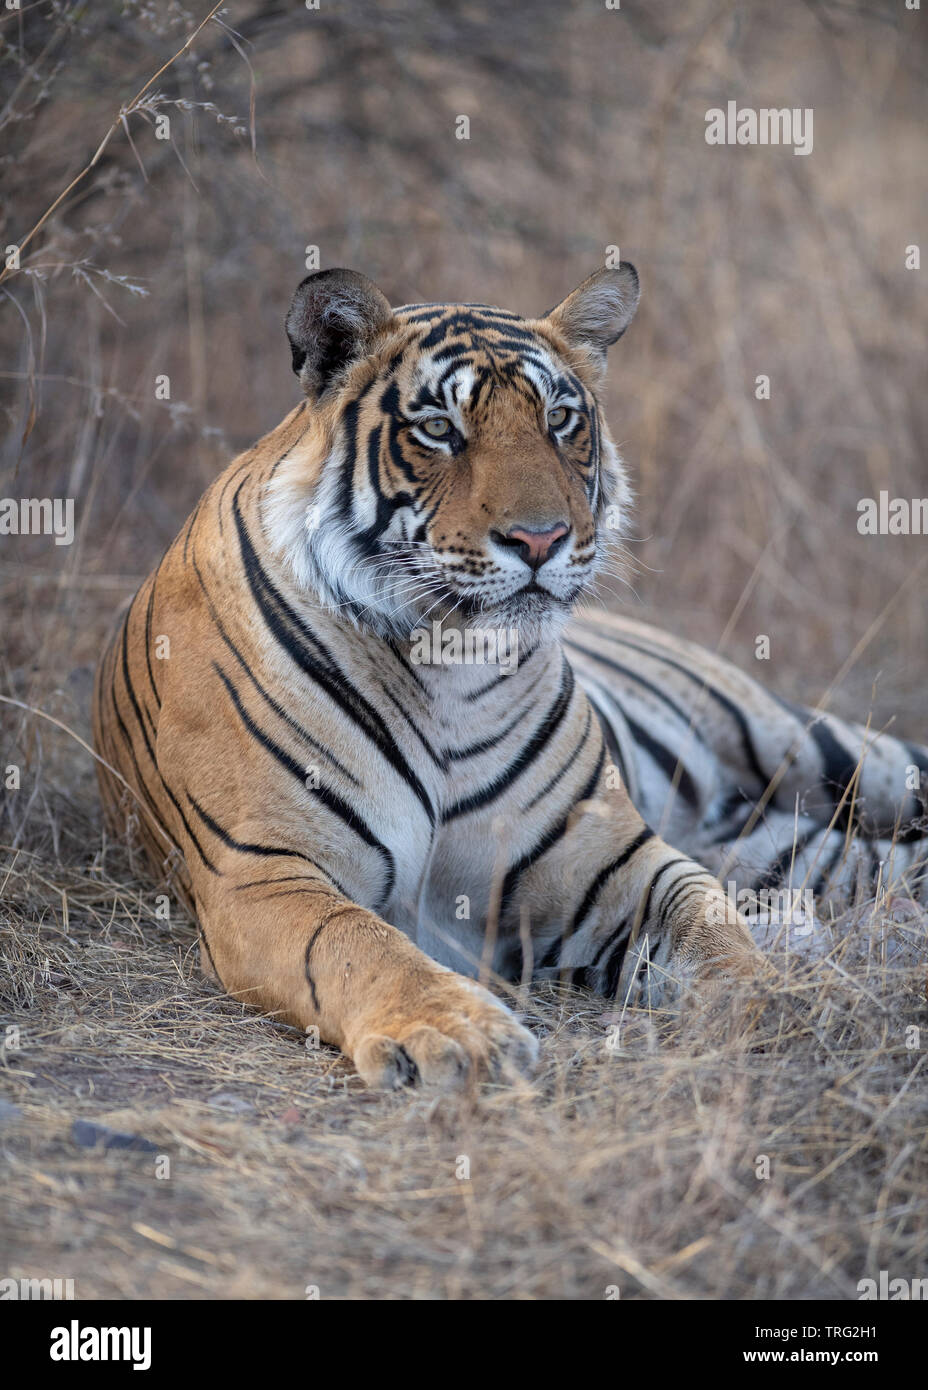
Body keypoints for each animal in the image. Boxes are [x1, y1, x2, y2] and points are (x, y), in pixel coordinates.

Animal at [93, 265, 928, 1090]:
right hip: (793, 848)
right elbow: (359, 944)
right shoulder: (263, 873)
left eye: (559, 419)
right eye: (439, 429)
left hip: (828, 753)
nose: (541, 539)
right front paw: (459, 1037)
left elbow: (709, 927)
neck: (450, 666)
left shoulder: (614, 861)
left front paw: (767, 1000)